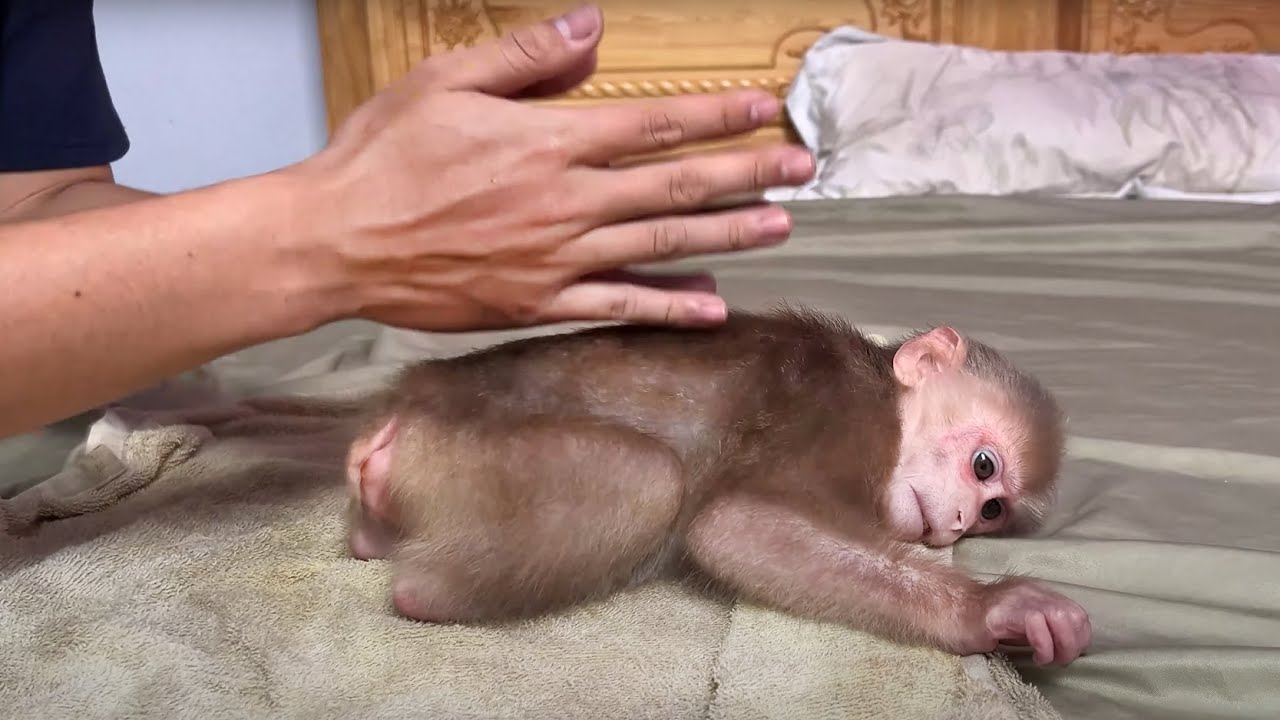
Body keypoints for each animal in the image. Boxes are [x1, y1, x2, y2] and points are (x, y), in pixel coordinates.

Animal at [342, 306, 1091, 667]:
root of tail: (403, 405)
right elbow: (734, 525)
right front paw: (990, 611)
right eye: (983, 467)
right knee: (651, 482)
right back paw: (423, 593)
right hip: (457, 452)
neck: (887, 403)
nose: (962, 518)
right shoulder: (843, 423)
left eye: (993, 512)